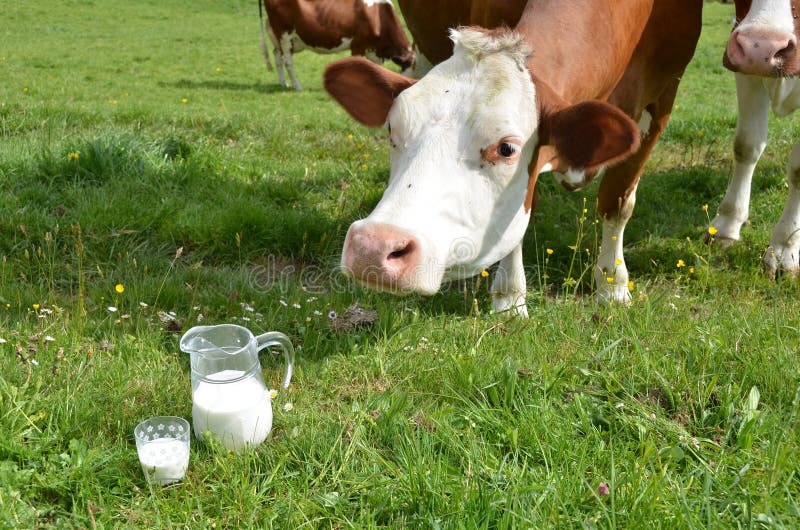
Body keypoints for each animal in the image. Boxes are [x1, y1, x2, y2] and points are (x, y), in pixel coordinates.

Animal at [258, 0, 414, 91]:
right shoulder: (358, 45)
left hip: (284, 38)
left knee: (277, 56)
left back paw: (282, 82)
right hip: (285, 34)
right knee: (288, 62)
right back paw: (297, 86)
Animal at [323, 0, 702, 316]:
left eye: (506, 148)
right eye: (392, 129)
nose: (372, 247)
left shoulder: (662, 99)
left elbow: (618, 204)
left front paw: (612, 286)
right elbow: (518, 220)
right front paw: (509, 297)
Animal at [711, 0, 800, 278]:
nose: (760, 47)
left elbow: (799, 169)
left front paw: (785, 248)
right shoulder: (746, 70)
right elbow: (746, 145)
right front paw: (727, 224)